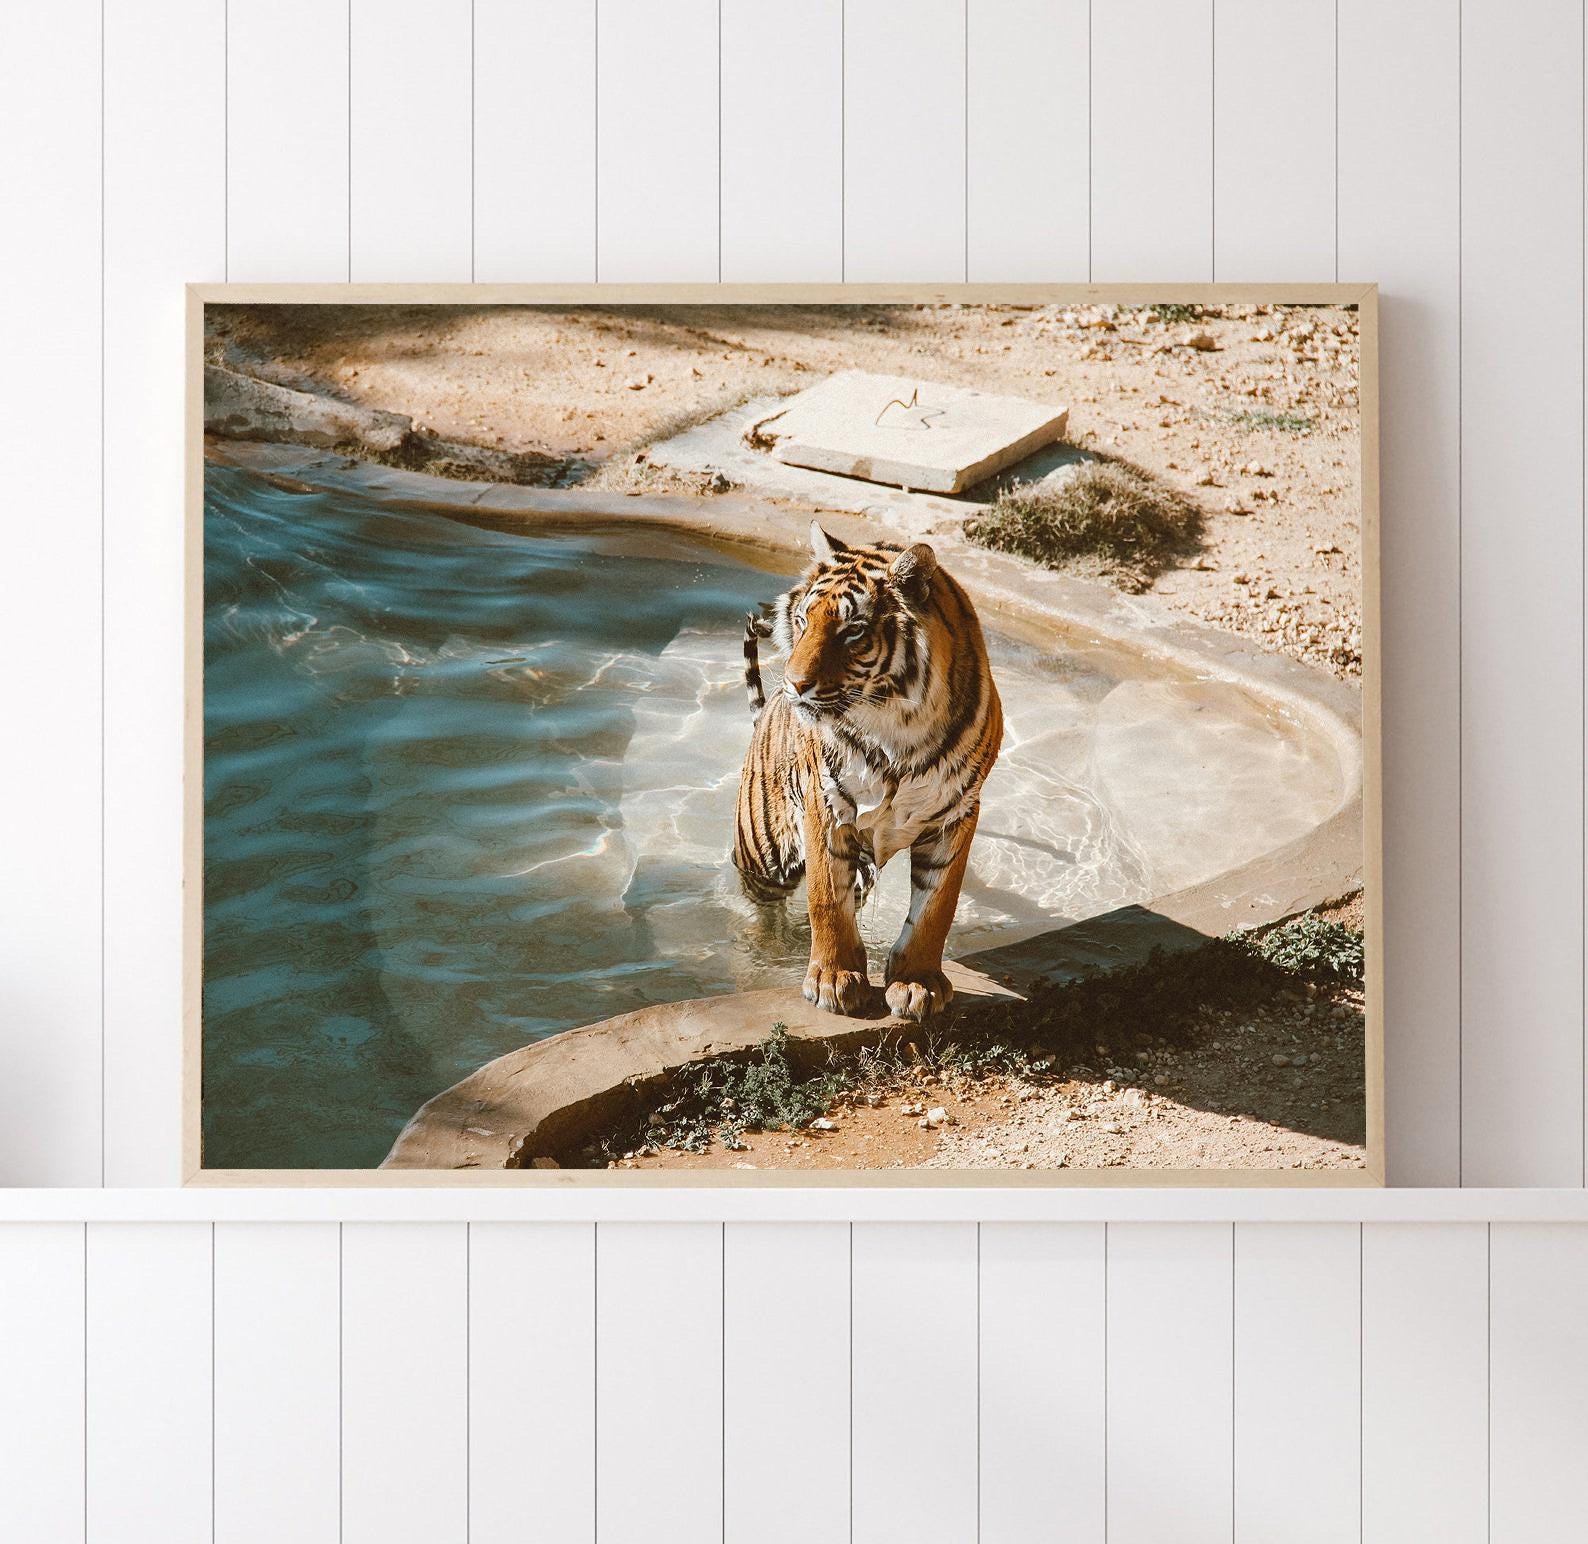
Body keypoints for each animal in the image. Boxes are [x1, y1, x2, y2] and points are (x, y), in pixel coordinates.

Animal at [733, 521, 1002, 1022]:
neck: (897, 726)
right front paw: (833, 980)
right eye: (803, 621)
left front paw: (916, 982)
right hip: (763, 855)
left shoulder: (956, 813)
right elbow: (826, 900)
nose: (794, 684)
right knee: (764, 909)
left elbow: (936, 908)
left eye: (852, 631)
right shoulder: (826, 805)